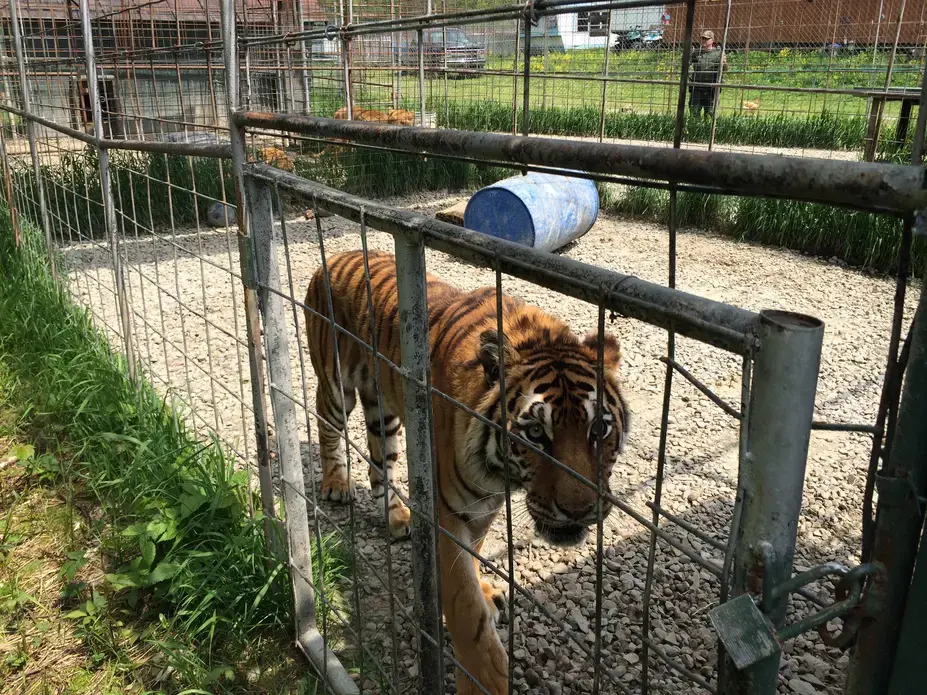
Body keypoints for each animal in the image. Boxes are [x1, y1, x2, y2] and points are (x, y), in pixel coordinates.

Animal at [304, 250, 630, 695]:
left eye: (599, 430)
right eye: (535, 433)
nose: (578, 510)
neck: (500, 473)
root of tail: (336, 256)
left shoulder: (482, 505)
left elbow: (475, 557)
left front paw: (487, 590)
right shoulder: (446, 509)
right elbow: (464, 607)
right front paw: (484, 677)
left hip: (384, 415)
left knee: (379, 467)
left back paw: (397, 517)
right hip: (337, 386)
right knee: (325, 424)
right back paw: (336, 483)